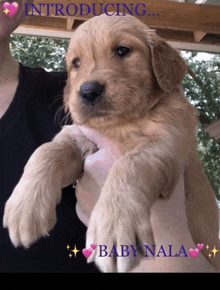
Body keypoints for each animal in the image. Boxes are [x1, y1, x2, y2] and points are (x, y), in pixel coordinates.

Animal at [3, 13, 220, 272]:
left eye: (122, 50)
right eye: (76, 63)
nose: (88, 91)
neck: (121, 124)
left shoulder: (168, 142)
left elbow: (130, 164)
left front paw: (114, 228)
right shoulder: (77, 136)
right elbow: (46, 150)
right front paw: (25, 206)